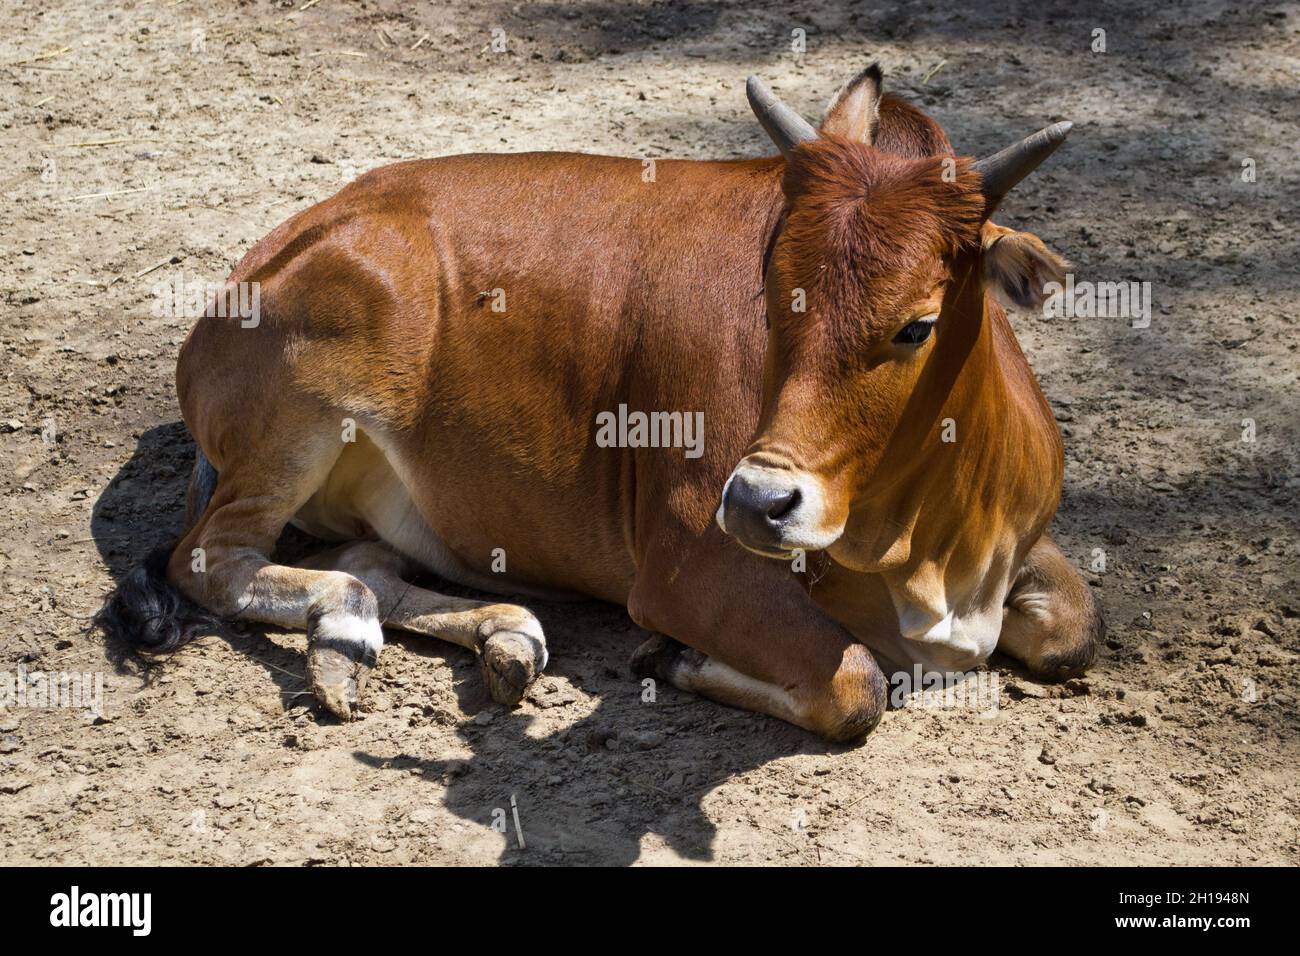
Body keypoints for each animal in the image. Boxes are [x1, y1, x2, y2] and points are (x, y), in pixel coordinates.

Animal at [97, 64, 1102, 743]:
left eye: (918, 323)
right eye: (771, 296)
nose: (757, 503)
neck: (924, 541)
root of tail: (259, 262)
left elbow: (1073, 633)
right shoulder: (687, 570)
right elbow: (856, 687)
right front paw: (677, 658)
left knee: (365, 558)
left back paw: (494, 636)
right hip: (297, 419)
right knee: (212, 560)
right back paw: (348, 625)